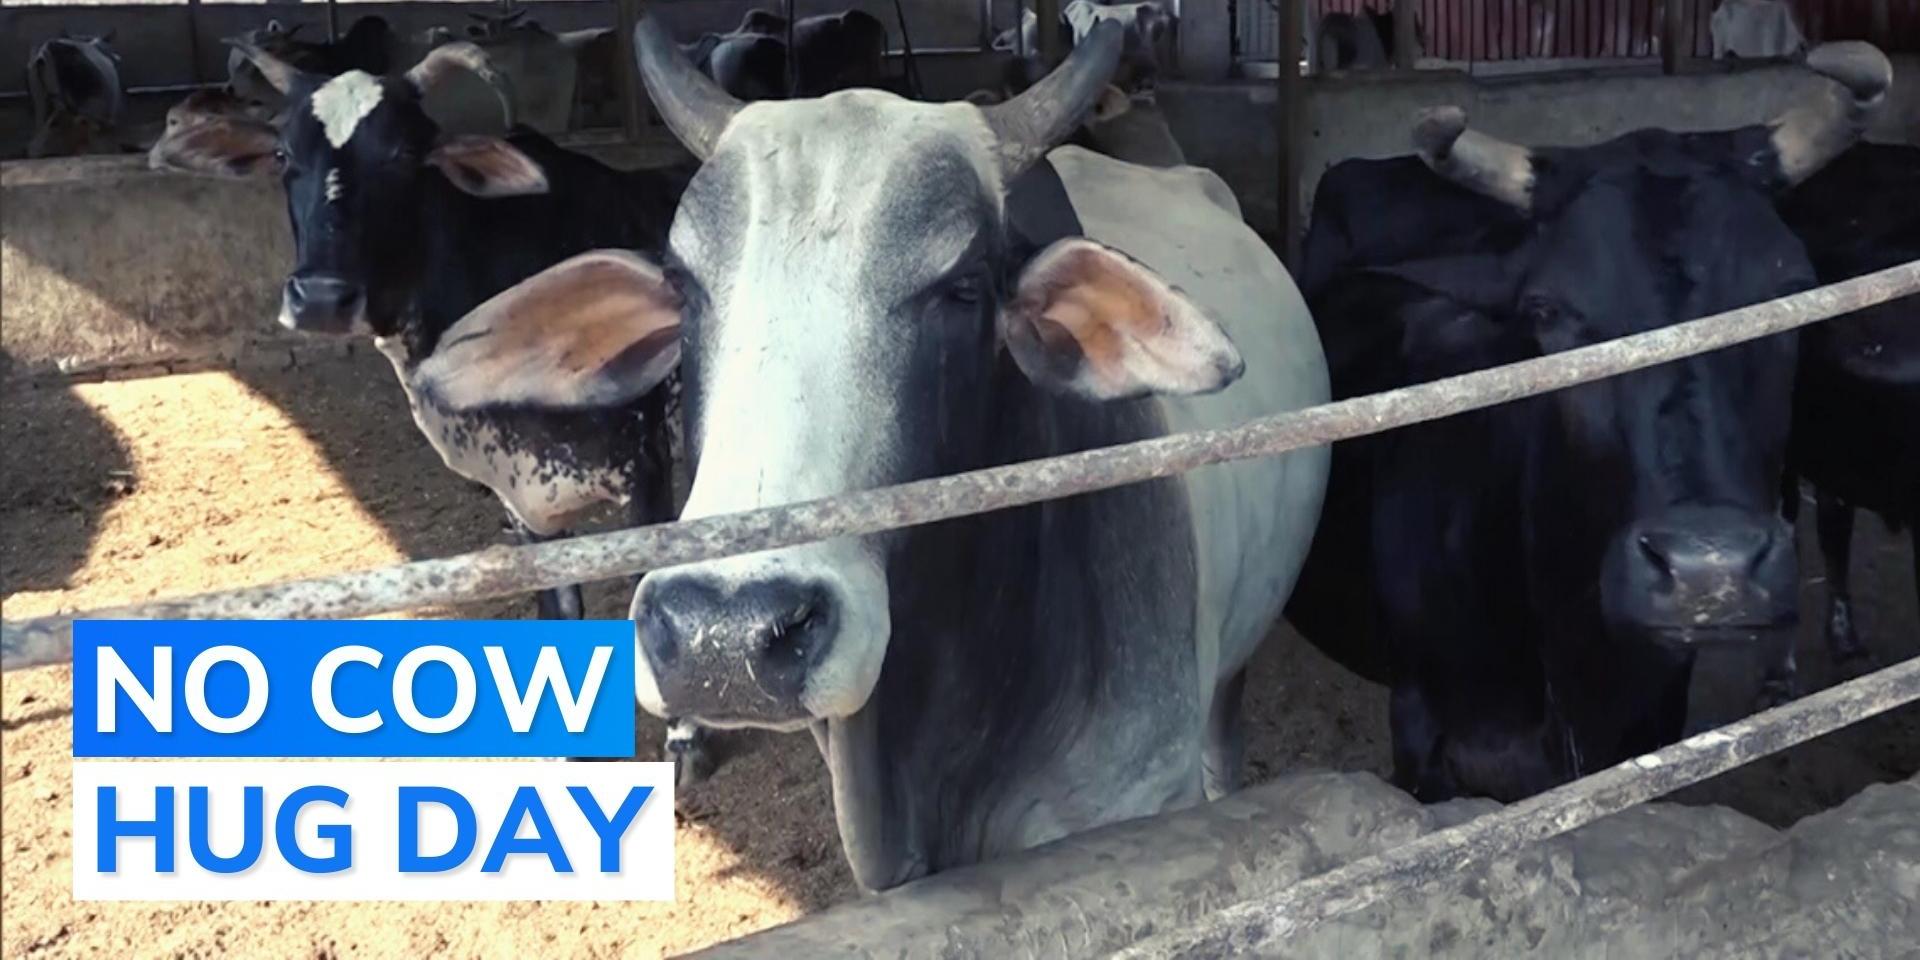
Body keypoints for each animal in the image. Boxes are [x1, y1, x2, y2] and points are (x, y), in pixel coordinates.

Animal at [146, 42, 707, 776]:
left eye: (403, 155)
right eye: (284, 155)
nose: (321, 297)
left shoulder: (645, 469)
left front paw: (687, 739)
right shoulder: (521, 504)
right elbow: (560, 611)